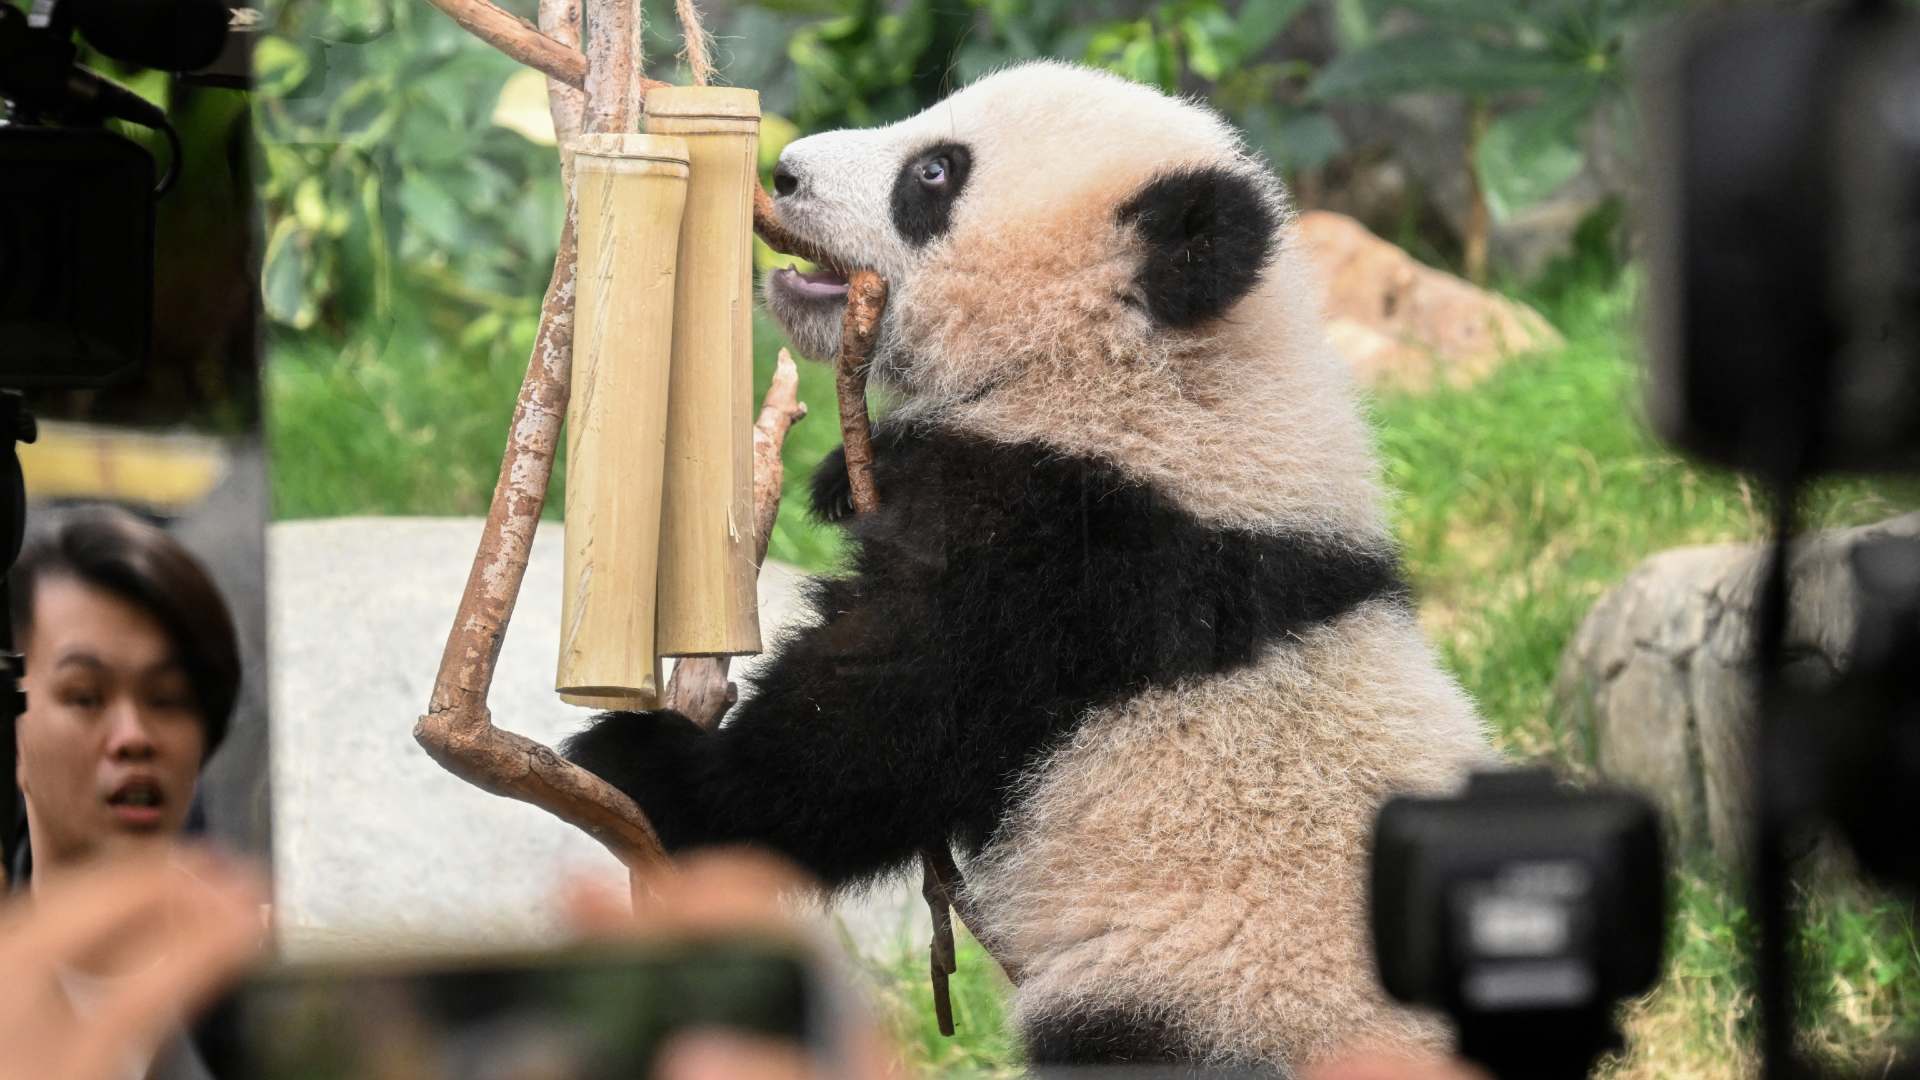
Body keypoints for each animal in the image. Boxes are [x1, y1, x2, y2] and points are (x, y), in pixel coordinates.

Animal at [565, 60, 1496, 1074]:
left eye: (935, 173)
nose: (786, 172)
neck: (1155, 372)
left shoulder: (1088, 555)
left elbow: (882, 727)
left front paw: (647, 769)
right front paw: (847, 478)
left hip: (1213, 995)